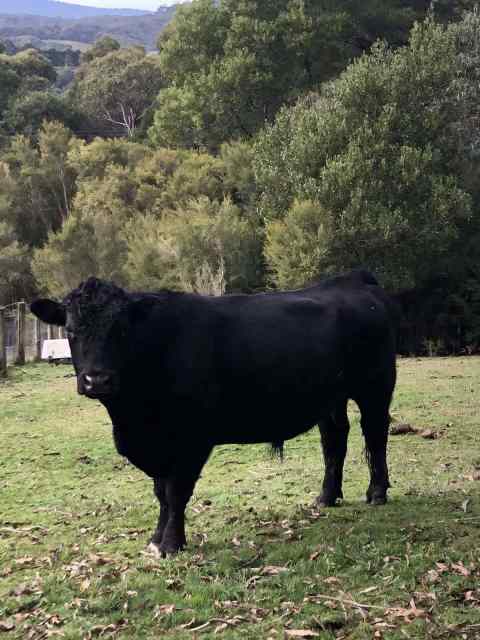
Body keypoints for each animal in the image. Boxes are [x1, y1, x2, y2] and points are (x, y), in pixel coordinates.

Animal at [31, 270, 397, 557]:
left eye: (121, 330)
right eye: (71, 331)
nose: (97, 379)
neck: (133, 418)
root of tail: (353, 279)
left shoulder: (192, 439)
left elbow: (176, 492)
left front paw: (172, 544)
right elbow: (160, 493)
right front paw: (156, 539)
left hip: (376, 385)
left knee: (375, 433)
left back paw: (377, 492)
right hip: (331, 398)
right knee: (334, 440)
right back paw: (327, 496)